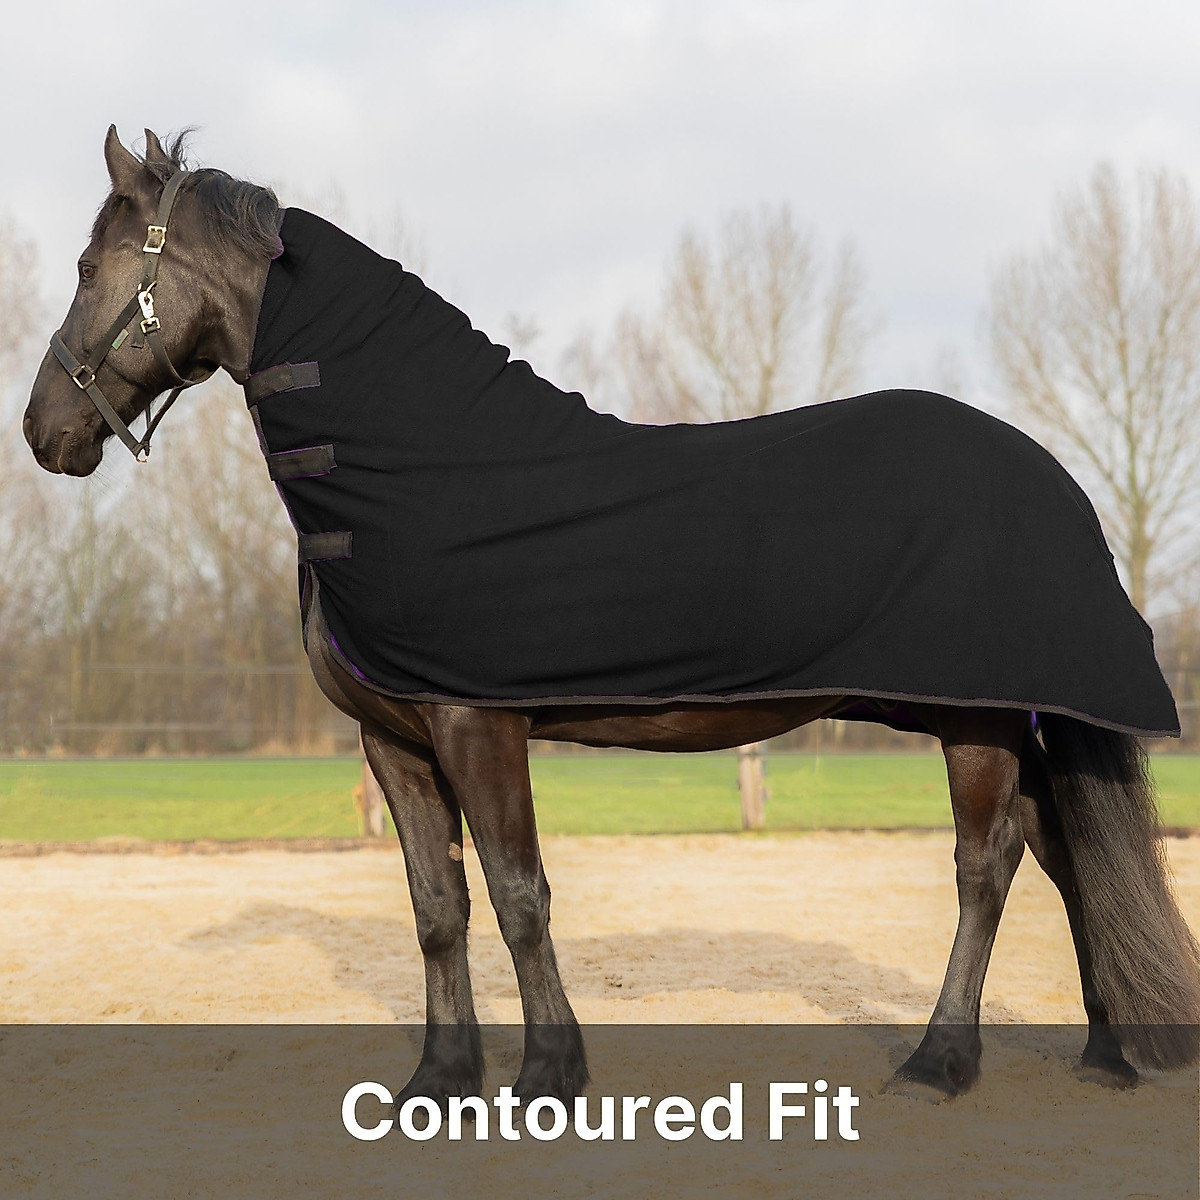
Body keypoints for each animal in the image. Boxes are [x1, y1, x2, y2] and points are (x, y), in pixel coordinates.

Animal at [23, 126, 1200, 1105]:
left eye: (87, 269)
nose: (43, 431)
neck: (418, 466)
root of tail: (1053, 478)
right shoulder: (393, 741)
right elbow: (437, 909)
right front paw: (438, 1081)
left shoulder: (477, 724)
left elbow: (518, 895)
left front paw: (550, 1074)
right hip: (999, 715)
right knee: (1063, 852)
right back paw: (1106, 1055)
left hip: (977, 724)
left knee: (986, 869)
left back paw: (939, 1062)